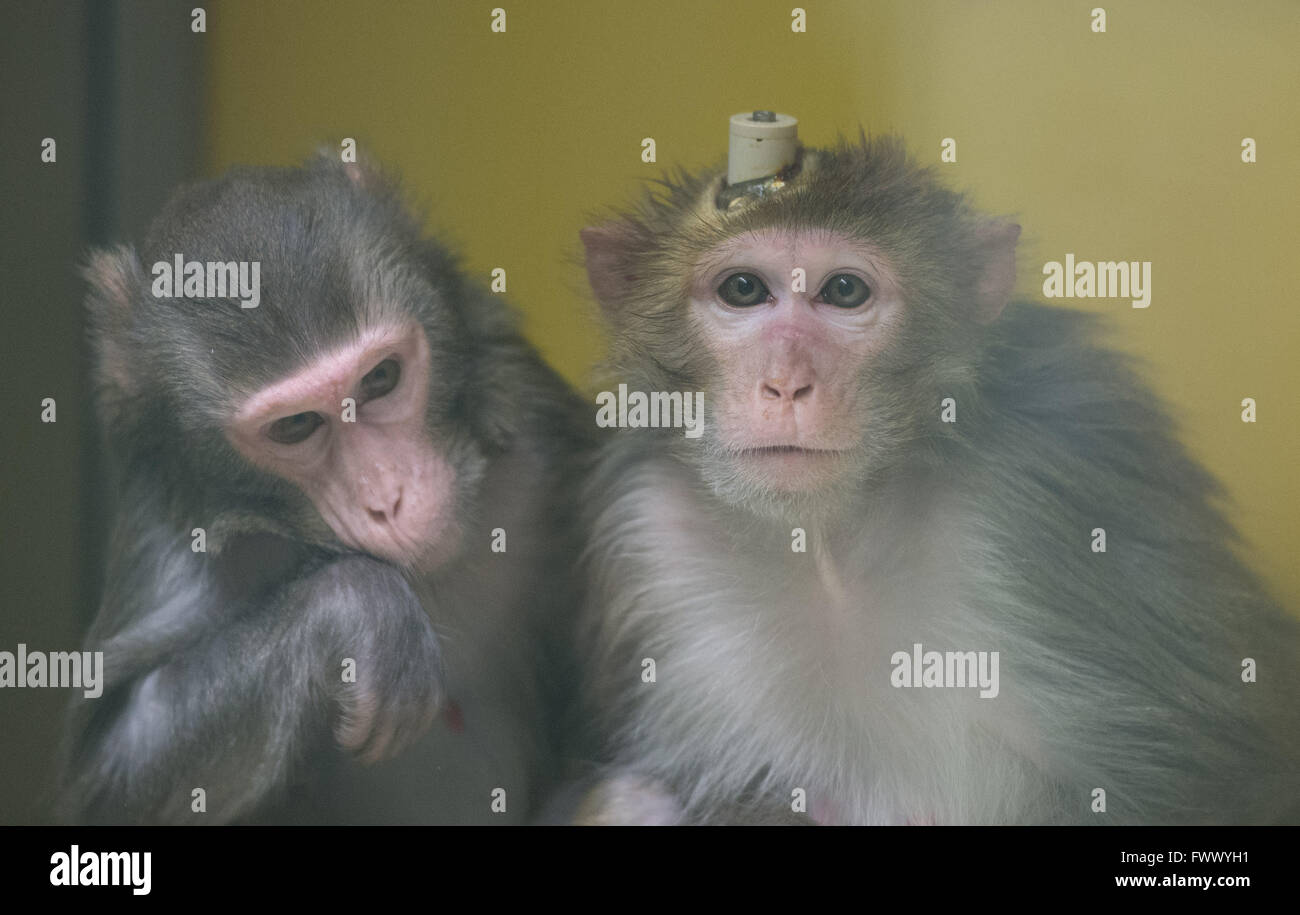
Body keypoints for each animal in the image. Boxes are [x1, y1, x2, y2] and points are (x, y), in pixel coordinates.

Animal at [59, 153, 591, 824]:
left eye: (382, 378)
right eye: (295, 426)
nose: (389, 498)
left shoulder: (535, 424)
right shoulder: (172, 529)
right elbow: (114, 761)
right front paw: (359, 609)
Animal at [574, 132, 1300, 825]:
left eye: (844, 291)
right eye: (744, 289)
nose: (785, 383)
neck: (832, 548)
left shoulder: (1035, 497)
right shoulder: (653, 533)